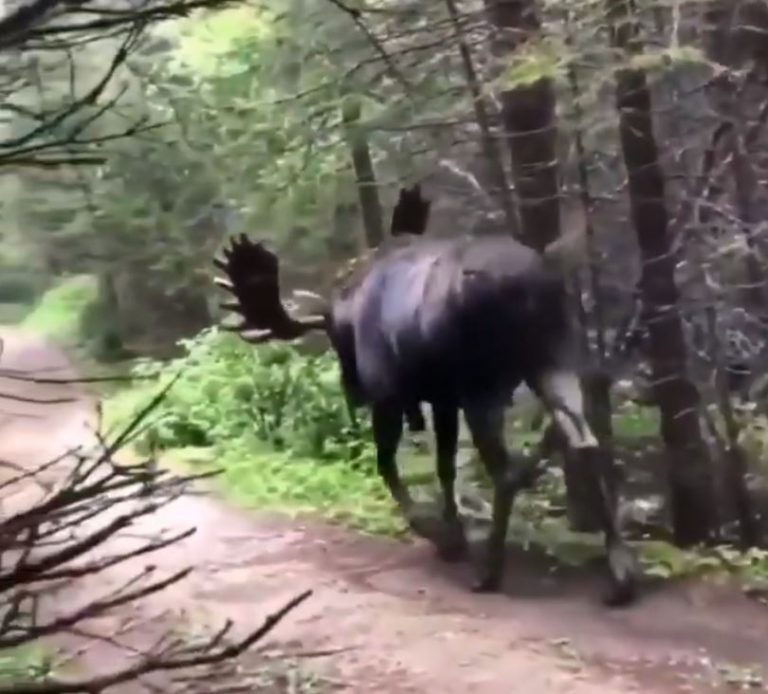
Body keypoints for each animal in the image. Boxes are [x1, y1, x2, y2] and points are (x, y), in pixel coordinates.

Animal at [212, 185, 640, 607]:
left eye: (336, 337)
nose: (352, 388)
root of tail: (535, 284)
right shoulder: (443, 399)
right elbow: (444, 466)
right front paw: (454, 534)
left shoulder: (389, 395)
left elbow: (388, 465)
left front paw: (436, 532)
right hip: (552, 360)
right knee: (584, 439)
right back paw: (620, 572)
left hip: (484, 385)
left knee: (506, 470)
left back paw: (490, 572)